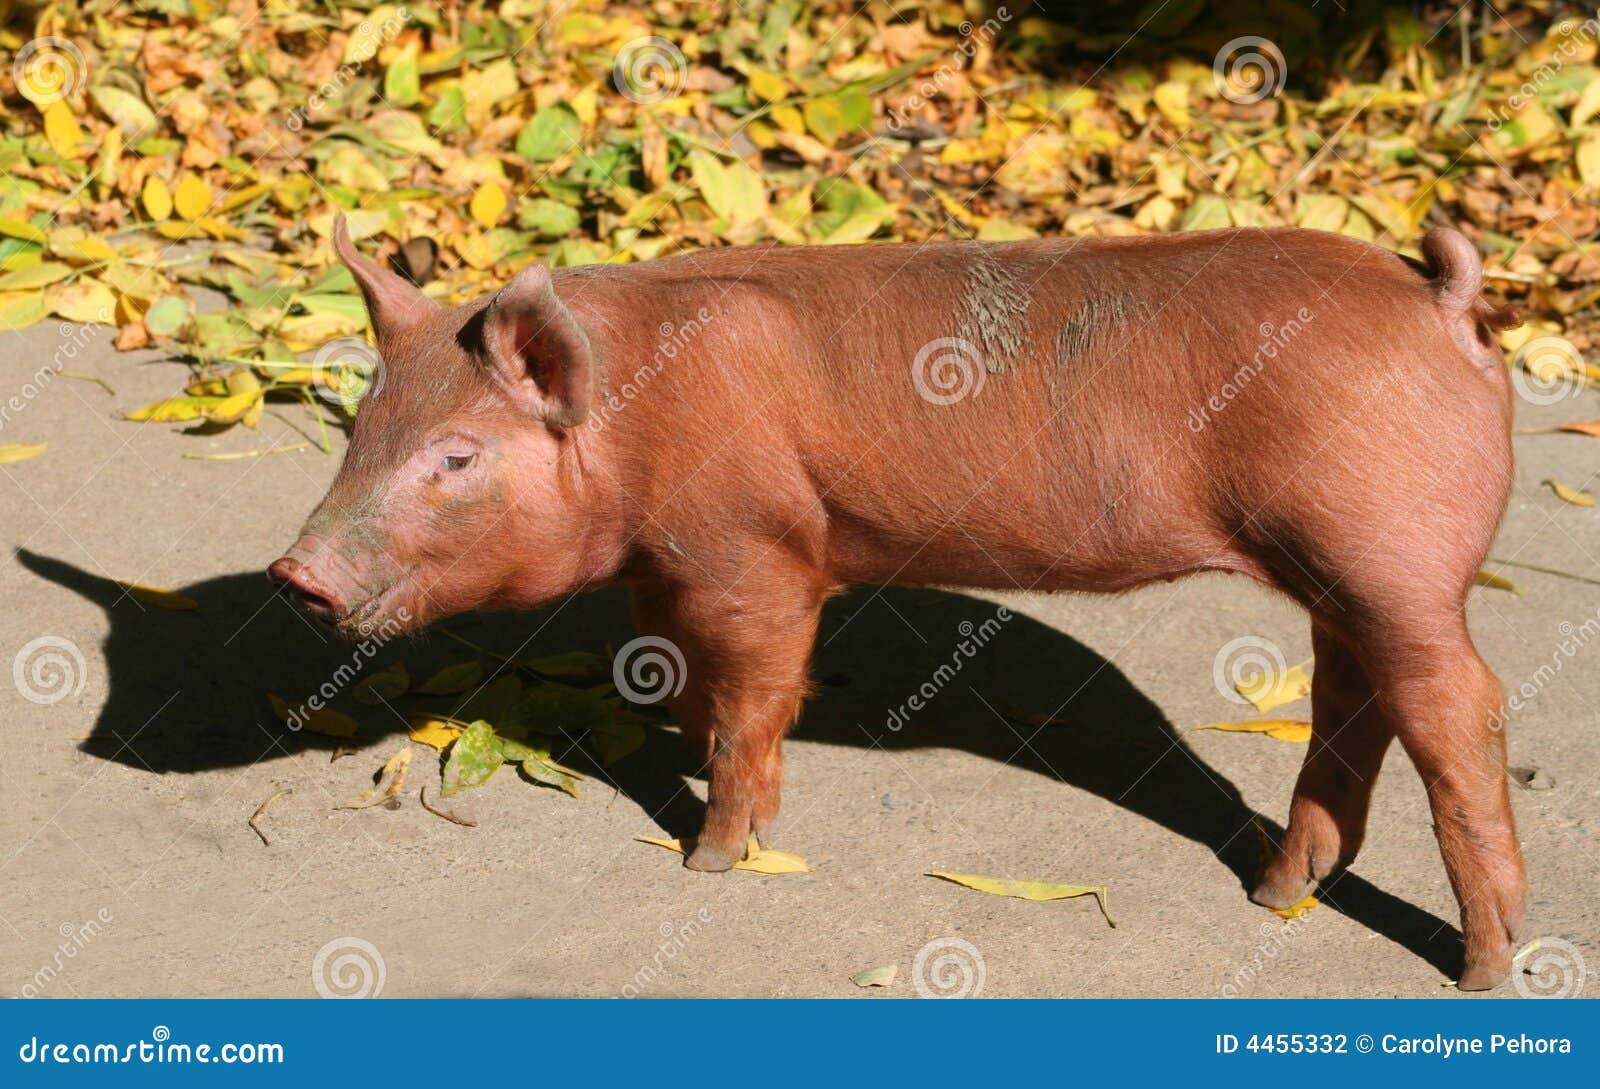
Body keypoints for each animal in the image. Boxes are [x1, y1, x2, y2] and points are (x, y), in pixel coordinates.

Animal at [271, 217, 1525, 990]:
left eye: (456, 458)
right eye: (360, 425)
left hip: (1390, 554)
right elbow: (682, 675)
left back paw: (1480, 968)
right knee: (1352, 701)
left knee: (1460, 707)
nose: (294, 576)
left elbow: (751, 696)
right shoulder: (666, 567)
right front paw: (717, 790)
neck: (631, 427)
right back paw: (1274, 895)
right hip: (1342, 571)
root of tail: (1439, 299)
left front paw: (712, 860)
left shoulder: (758, 552)